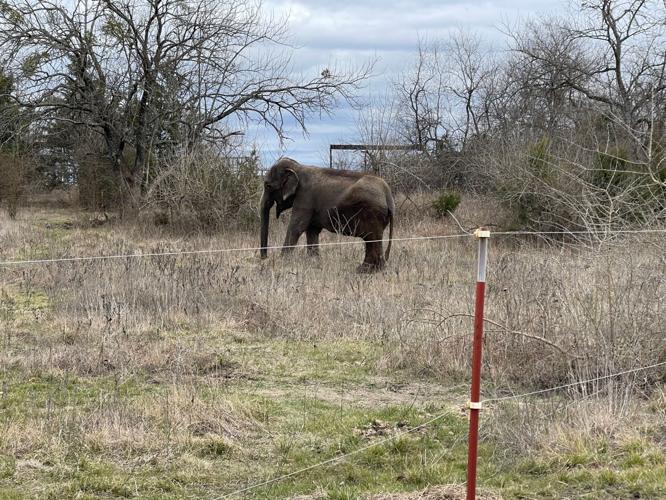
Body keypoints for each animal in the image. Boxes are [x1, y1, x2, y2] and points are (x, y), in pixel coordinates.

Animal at [259, 157, 395, 272]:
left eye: (268, 185)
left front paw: (281, 262)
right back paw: (369, 270)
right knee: (371, 240)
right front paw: (313, 264)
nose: (264, 258)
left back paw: (366, 271)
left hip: (373, 213)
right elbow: (312, 230)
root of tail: (388, 195)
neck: (298, 167)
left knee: (371, 239)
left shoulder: (305, 198)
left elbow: (297, 227)